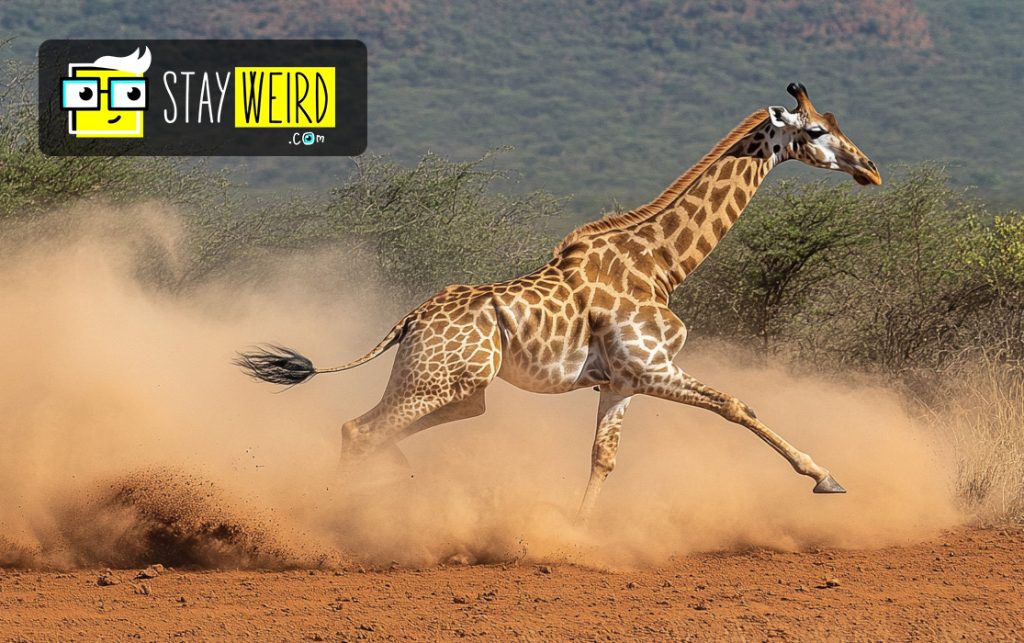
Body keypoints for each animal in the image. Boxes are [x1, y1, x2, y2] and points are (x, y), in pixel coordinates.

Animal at [237, 83, 882, 521]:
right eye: (816, 132)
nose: (870, 170)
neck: (659, 266)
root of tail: (410, 318)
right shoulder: (653, 367)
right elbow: (735, 403)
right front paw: (825, 477)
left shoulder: (621, 383)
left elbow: (604, 458)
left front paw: (576, 532)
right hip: (434, 382)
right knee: (360, 431)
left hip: (458, 393)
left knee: (366, 431)